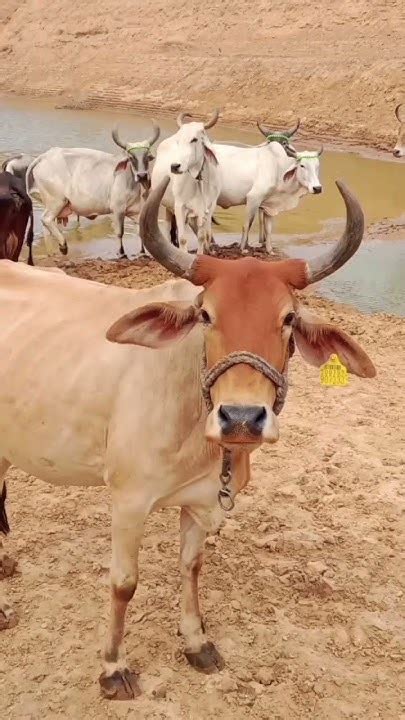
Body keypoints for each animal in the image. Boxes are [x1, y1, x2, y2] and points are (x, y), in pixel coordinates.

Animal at [0, 176, 375, 699]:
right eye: (206, 315)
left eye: (287, 319)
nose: (241, 417)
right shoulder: (128, 500)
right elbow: (124, 583)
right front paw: (113, 667)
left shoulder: (200, 502)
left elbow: (191, 566)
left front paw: (196, 641)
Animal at [25, 121, 160, 257]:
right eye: (131, 157)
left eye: (147, 156)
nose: (142, 175)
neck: (129, 180)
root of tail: (44, 157)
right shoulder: (118, 210)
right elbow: (119, 233)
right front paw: (121, 253)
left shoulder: (135, 212)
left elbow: (141, 231)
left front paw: (142, 252)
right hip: (57, 201)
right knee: (46, 219)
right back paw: (63, 245)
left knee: (46, 229)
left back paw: (51, 252)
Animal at [151, 110, 221, 254]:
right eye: (178, 140)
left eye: (194, 139)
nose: (174, 166)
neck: (197, 180)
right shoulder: (179, 206)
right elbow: (183, 239)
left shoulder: (208, 207)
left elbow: (201, 236)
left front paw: (200, 254)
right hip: (168, 205)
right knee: (168, 229)